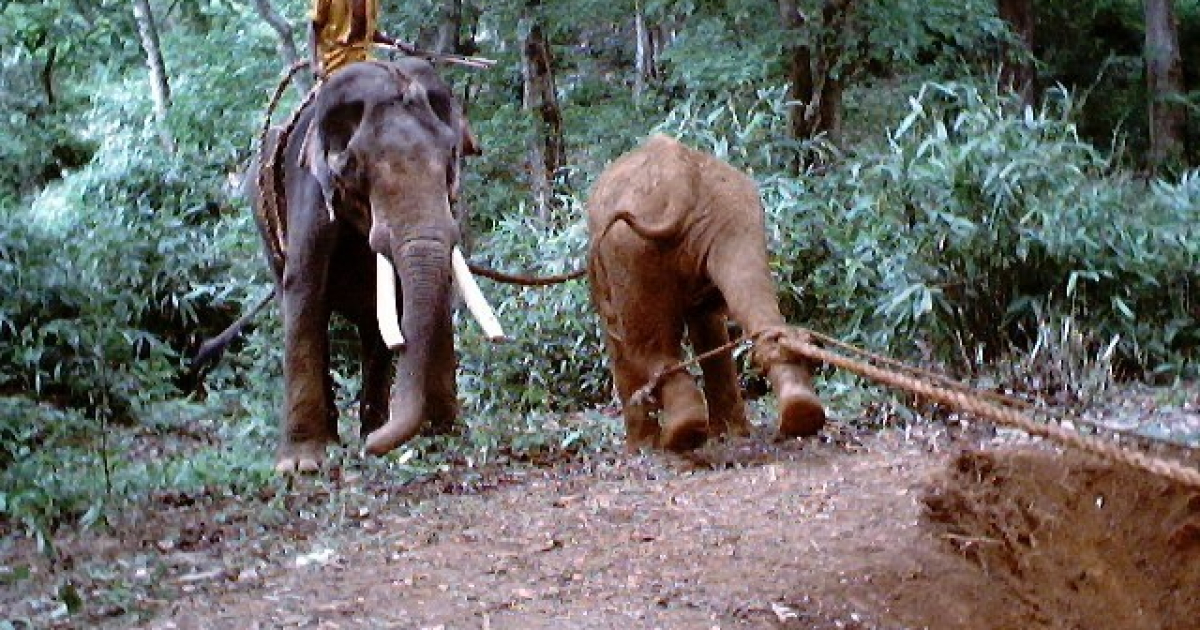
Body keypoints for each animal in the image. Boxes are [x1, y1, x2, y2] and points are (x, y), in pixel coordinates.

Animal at [249, 58, 482, 473]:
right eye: (356, 167)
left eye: (451, 157)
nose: (372, 449)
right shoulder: (309, 192)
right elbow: (303, 290)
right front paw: (299, 465)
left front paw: (446, 437)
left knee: (374, 328)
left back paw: (370, 426)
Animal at [585, 134, 826, 452]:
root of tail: (678, 174)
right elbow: (707, 320)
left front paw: (641, 448)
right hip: (733, 213)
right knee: (748, 286)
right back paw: (797, 413)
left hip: (624, 242)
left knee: (644, 346)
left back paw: (681, 435)